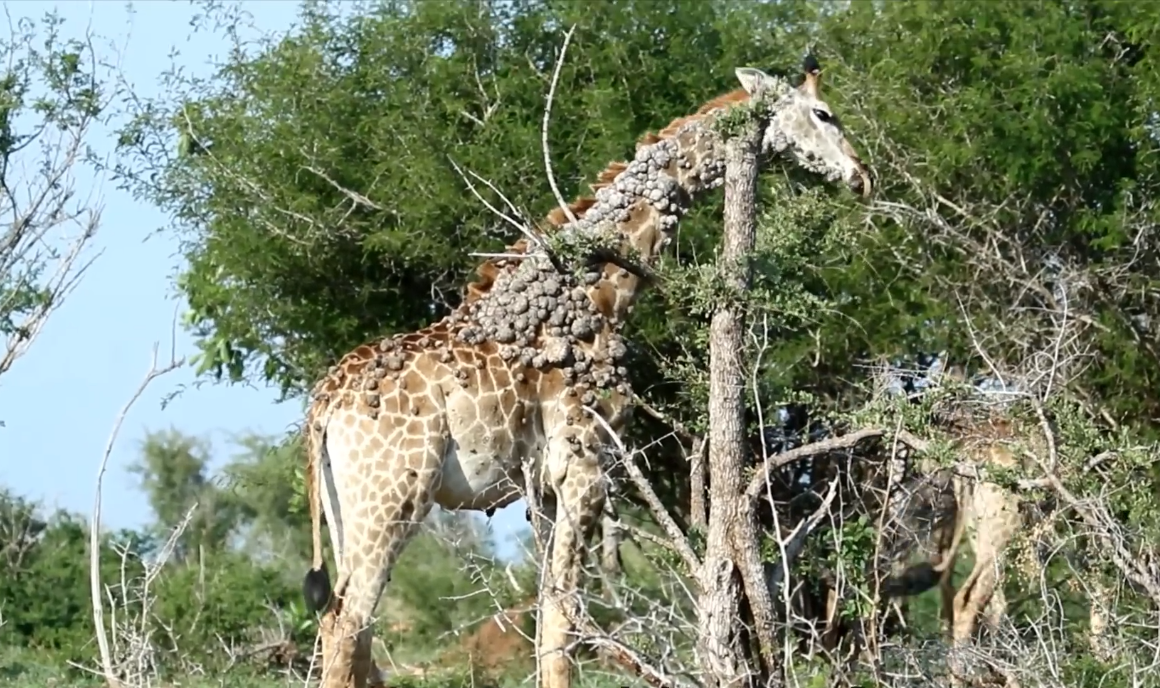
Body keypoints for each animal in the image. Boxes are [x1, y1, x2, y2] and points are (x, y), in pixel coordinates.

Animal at [299, 54, 873, 688]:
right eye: (824, 112)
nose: (861, 176)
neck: (602, 288)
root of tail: (323, 409)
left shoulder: (544, 488)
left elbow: (552, 610)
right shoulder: (584, 462)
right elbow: (563, 616)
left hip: (345, 512)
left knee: (346, 626)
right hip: (393, 495)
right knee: (348, 620)